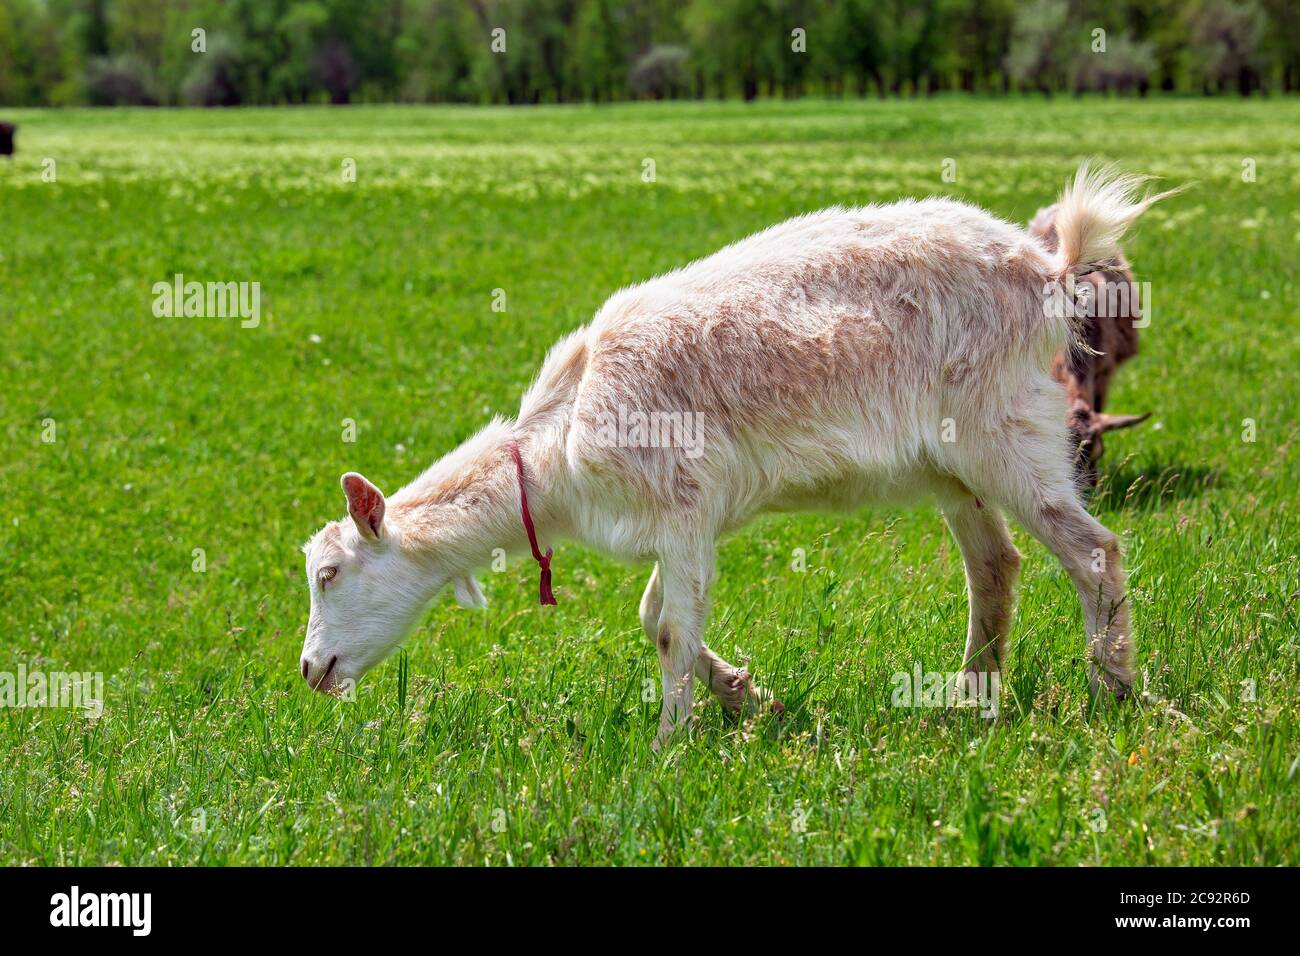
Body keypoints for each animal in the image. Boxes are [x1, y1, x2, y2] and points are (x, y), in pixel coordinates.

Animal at [302, 163, 1173, 747]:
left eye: (329, 574)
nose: (311, 671)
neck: (558, 447)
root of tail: (1048, 267)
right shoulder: (681, 524)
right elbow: (655, 616)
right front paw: (748, 699)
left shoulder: (683, 508)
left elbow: (667, 629)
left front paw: (667, 745)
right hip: (954, 467)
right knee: (995, 564)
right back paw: (969, 699)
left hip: (1008, 428)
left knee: (1093, 550)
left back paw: (1113, 692)